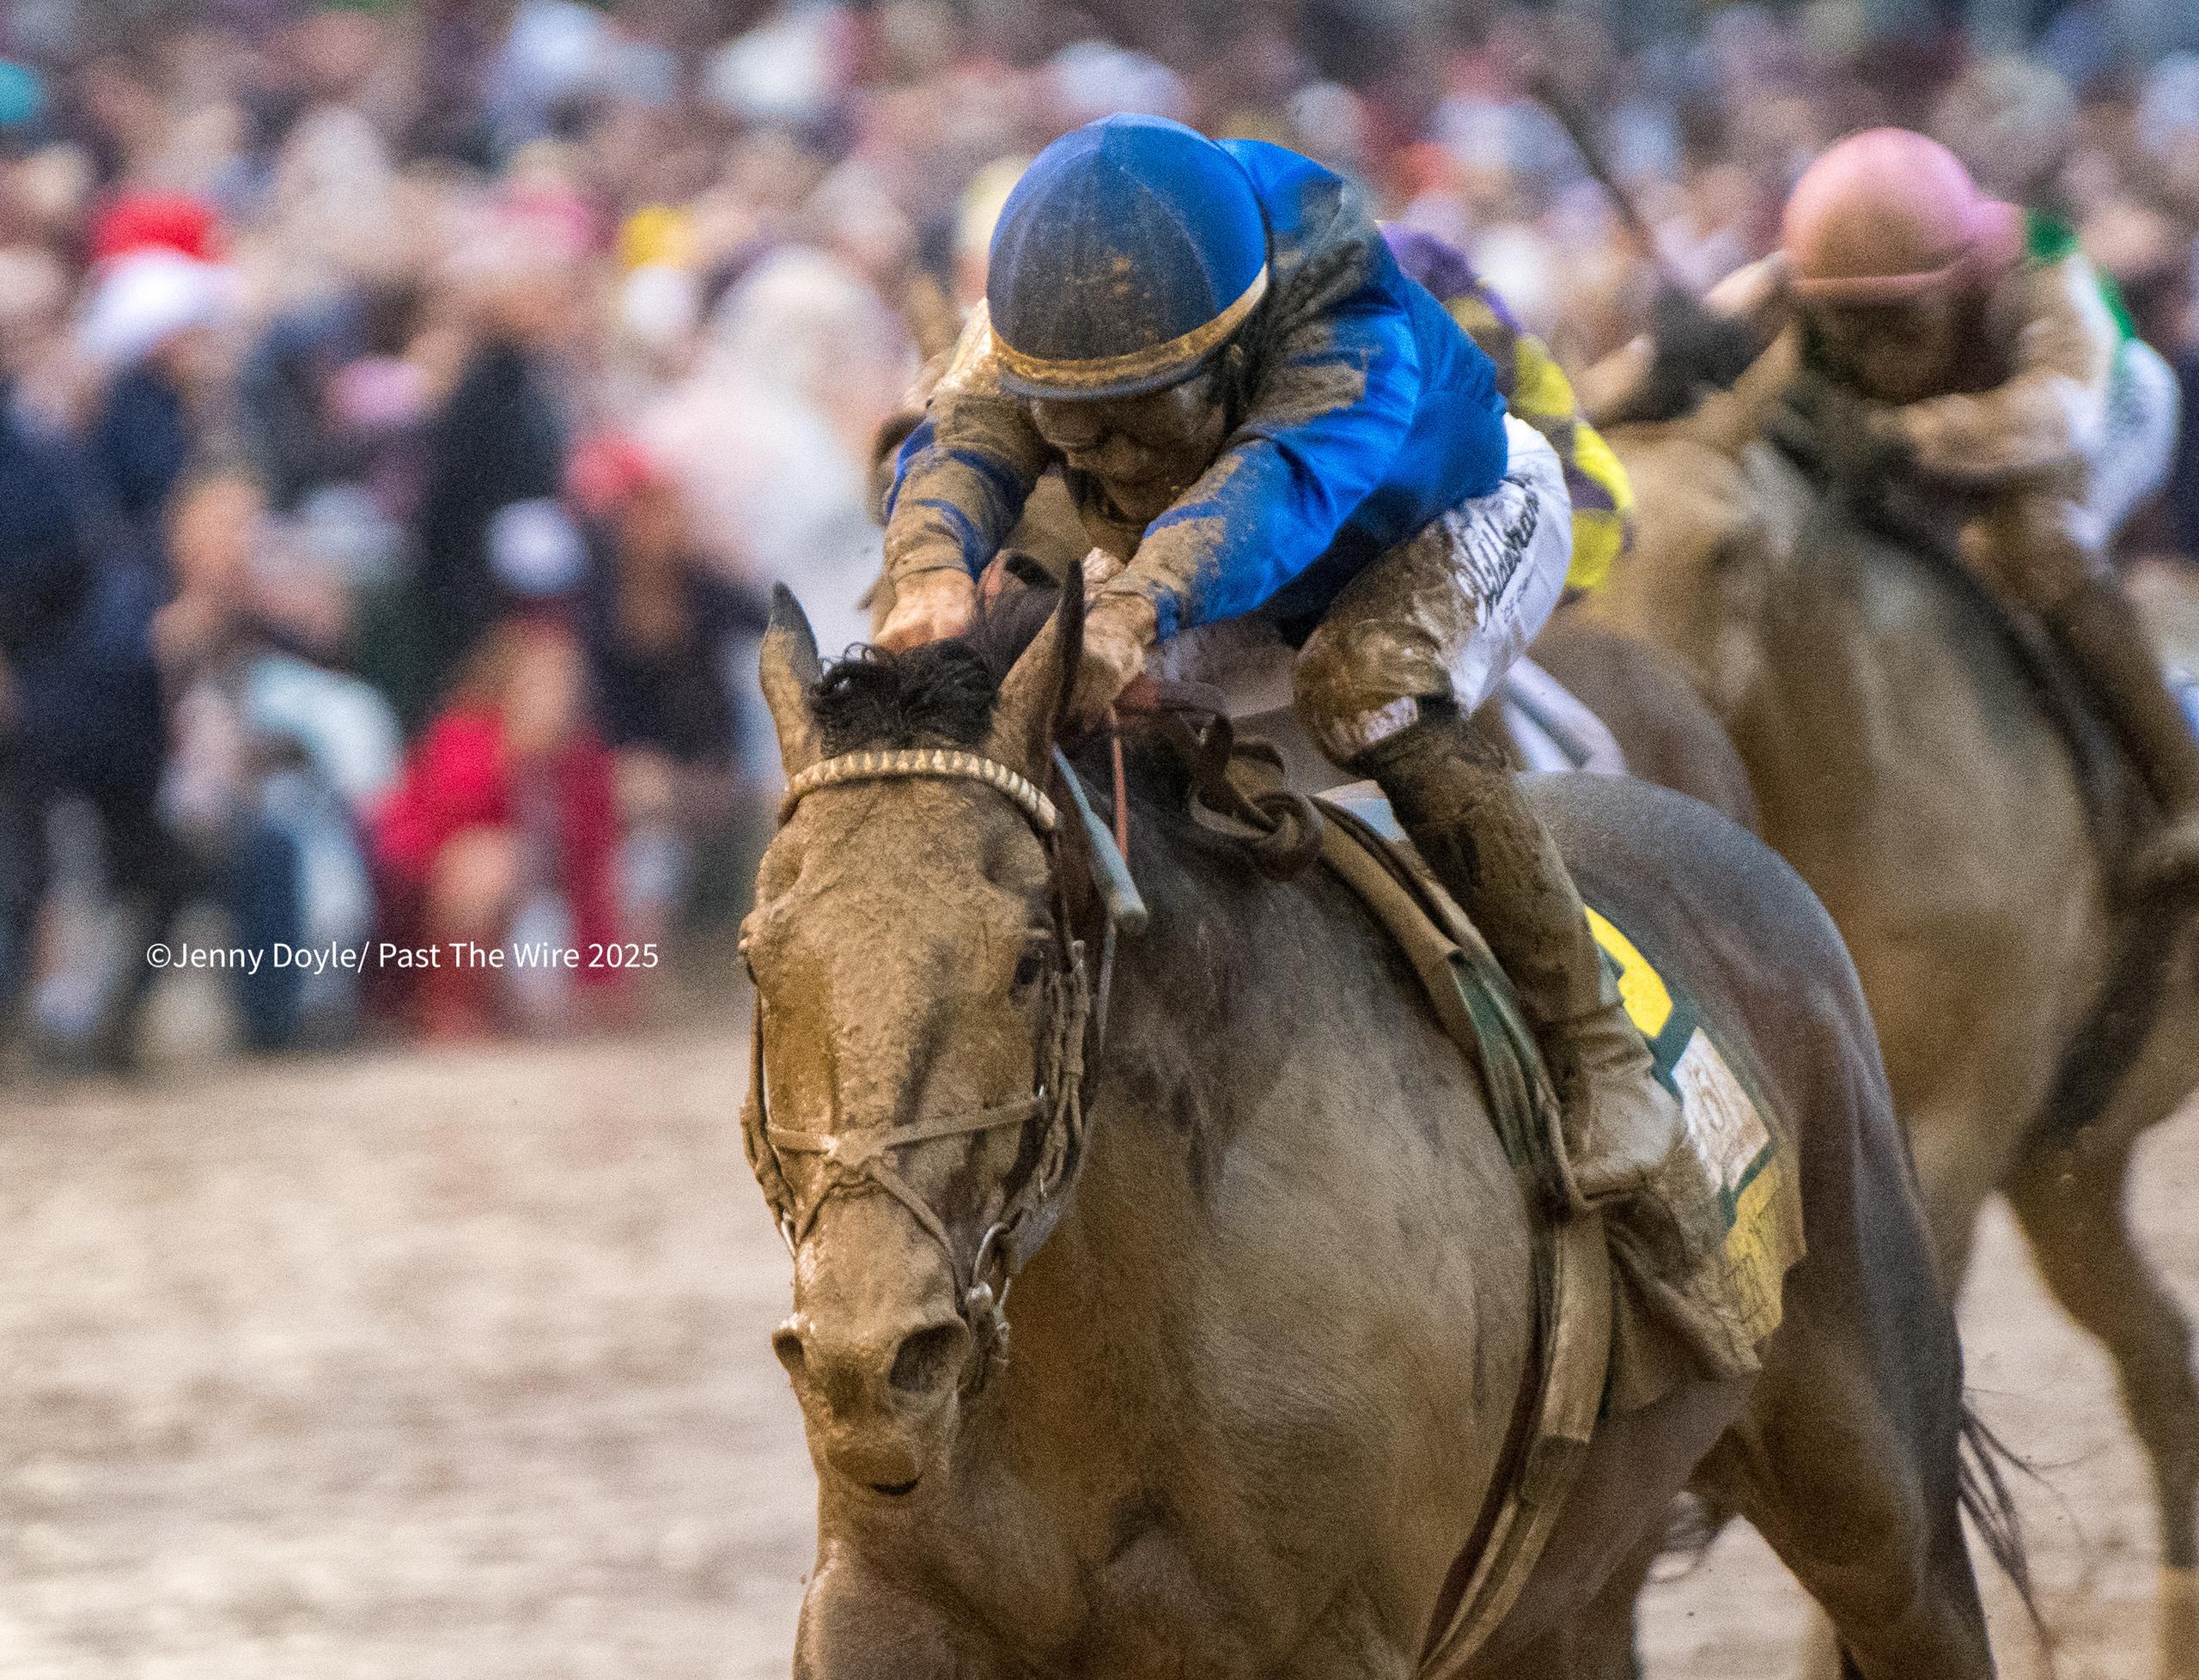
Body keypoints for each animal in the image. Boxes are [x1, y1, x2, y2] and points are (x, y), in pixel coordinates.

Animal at [741, 569, 2013, 1678]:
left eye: (1025, 961)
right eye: (759, 957)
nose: (872, 1357)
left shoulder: (1332, 1639)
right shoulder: (880, 1608)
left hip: (1883, 1508)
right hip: (1570, 1592)